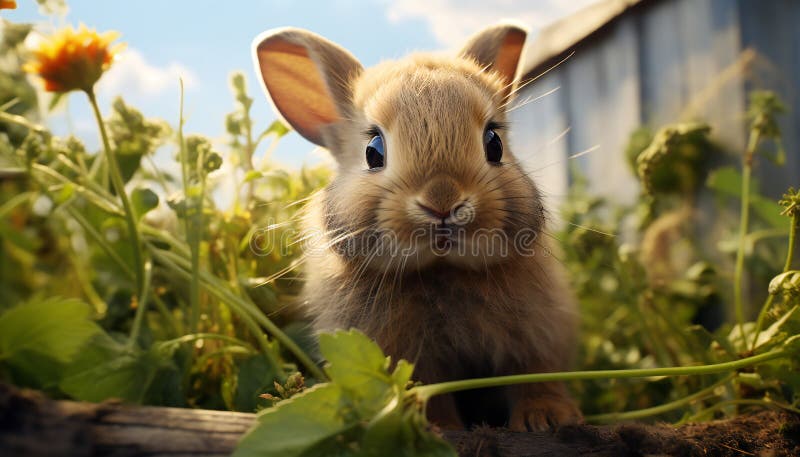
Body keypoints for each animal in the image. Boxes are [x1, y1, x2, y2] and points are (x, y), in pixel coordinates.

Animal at [252, 23, 582, 431]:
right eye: (374, 151)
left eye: (494, 142)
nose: (443, 201)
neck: (441, 270)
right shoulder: (408, 356)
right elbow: (429, 392)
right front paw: (439, 427)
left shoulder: (537, 332)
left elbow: (536, 374)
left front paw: (549, 418)